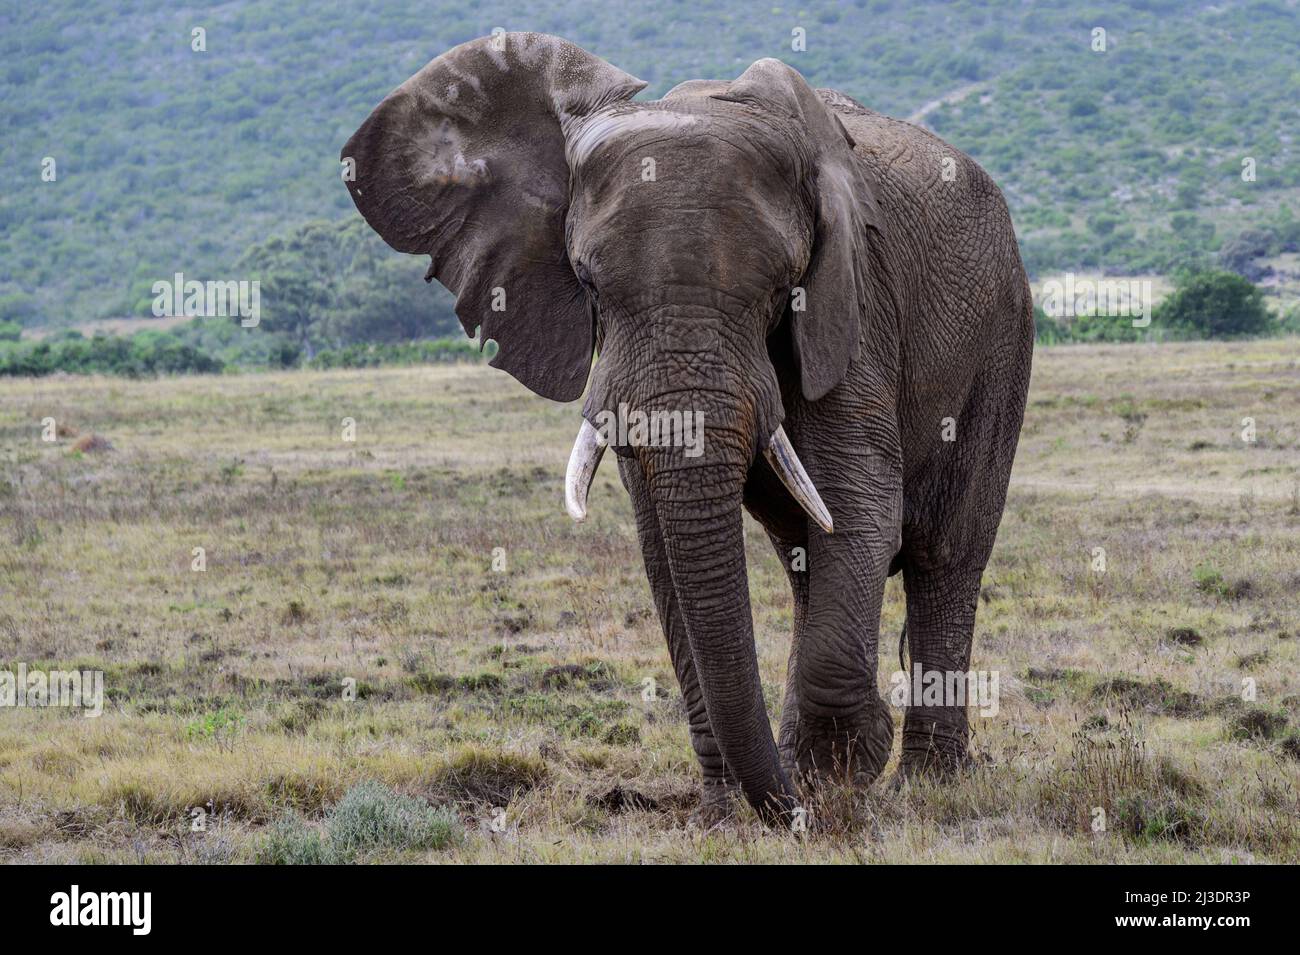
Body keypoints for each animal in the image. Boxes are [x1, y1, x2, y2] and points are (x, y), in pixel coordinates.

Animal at [341, 33, 1033, 826]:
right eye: (588, 282)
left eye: (784, 289)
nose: (787, 811)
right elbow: (663, 550)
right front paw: (737, 805)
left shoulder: (854, 306)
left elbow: (859, 506)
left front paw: (833, 781)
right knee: (806, 557)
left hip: (1004, 337)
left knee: (946, 552)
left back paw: (926, 784)